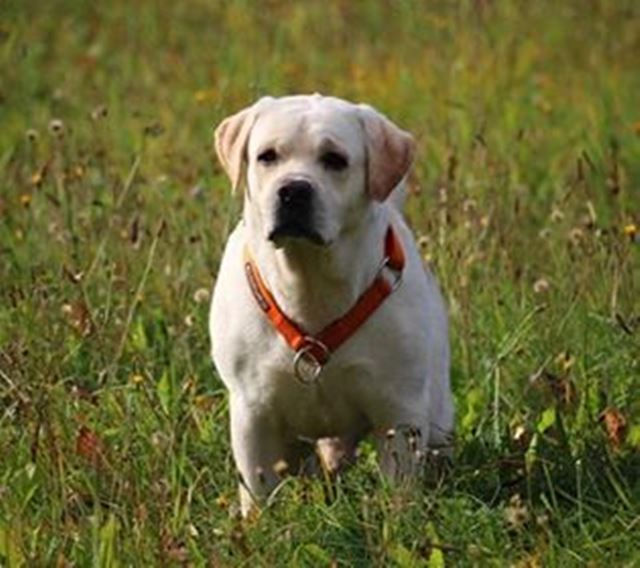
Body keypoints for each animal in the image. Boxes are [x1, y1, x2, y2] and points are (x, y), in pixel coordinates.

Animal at [208, 94, 452, 516]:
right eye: (266, 156)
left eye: (335, 159)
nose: (293, 190)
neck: (309, 284)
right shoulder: (253, 412)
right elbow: (257, 491)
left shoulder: (399, 412)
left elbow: (399, 491)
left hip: (436, 413)